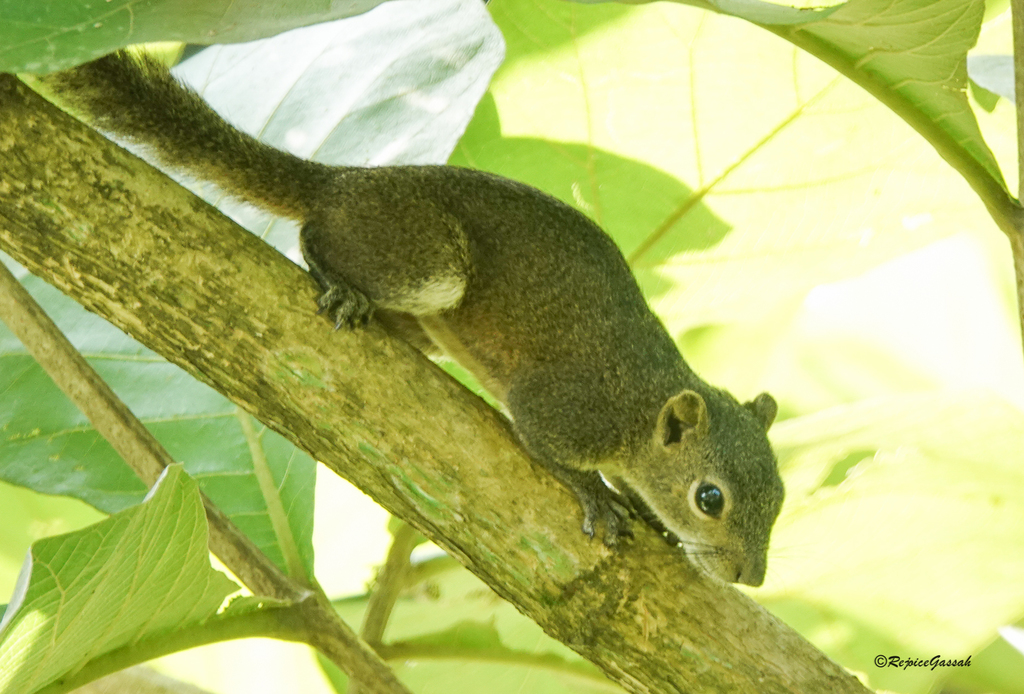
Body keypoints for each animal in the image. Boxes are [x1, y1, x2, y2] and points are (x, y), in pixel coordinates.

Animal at [37, 50, 785, 586]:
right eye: (710, 499)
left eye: (778, 498)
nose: (750, 577)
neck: (643, 407)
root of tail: (343, 180)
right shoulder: (572, 409)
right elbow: (546, 444)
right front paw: (596, 494)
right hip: (426, 258)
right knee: (312, 233)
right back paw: (335, 278)